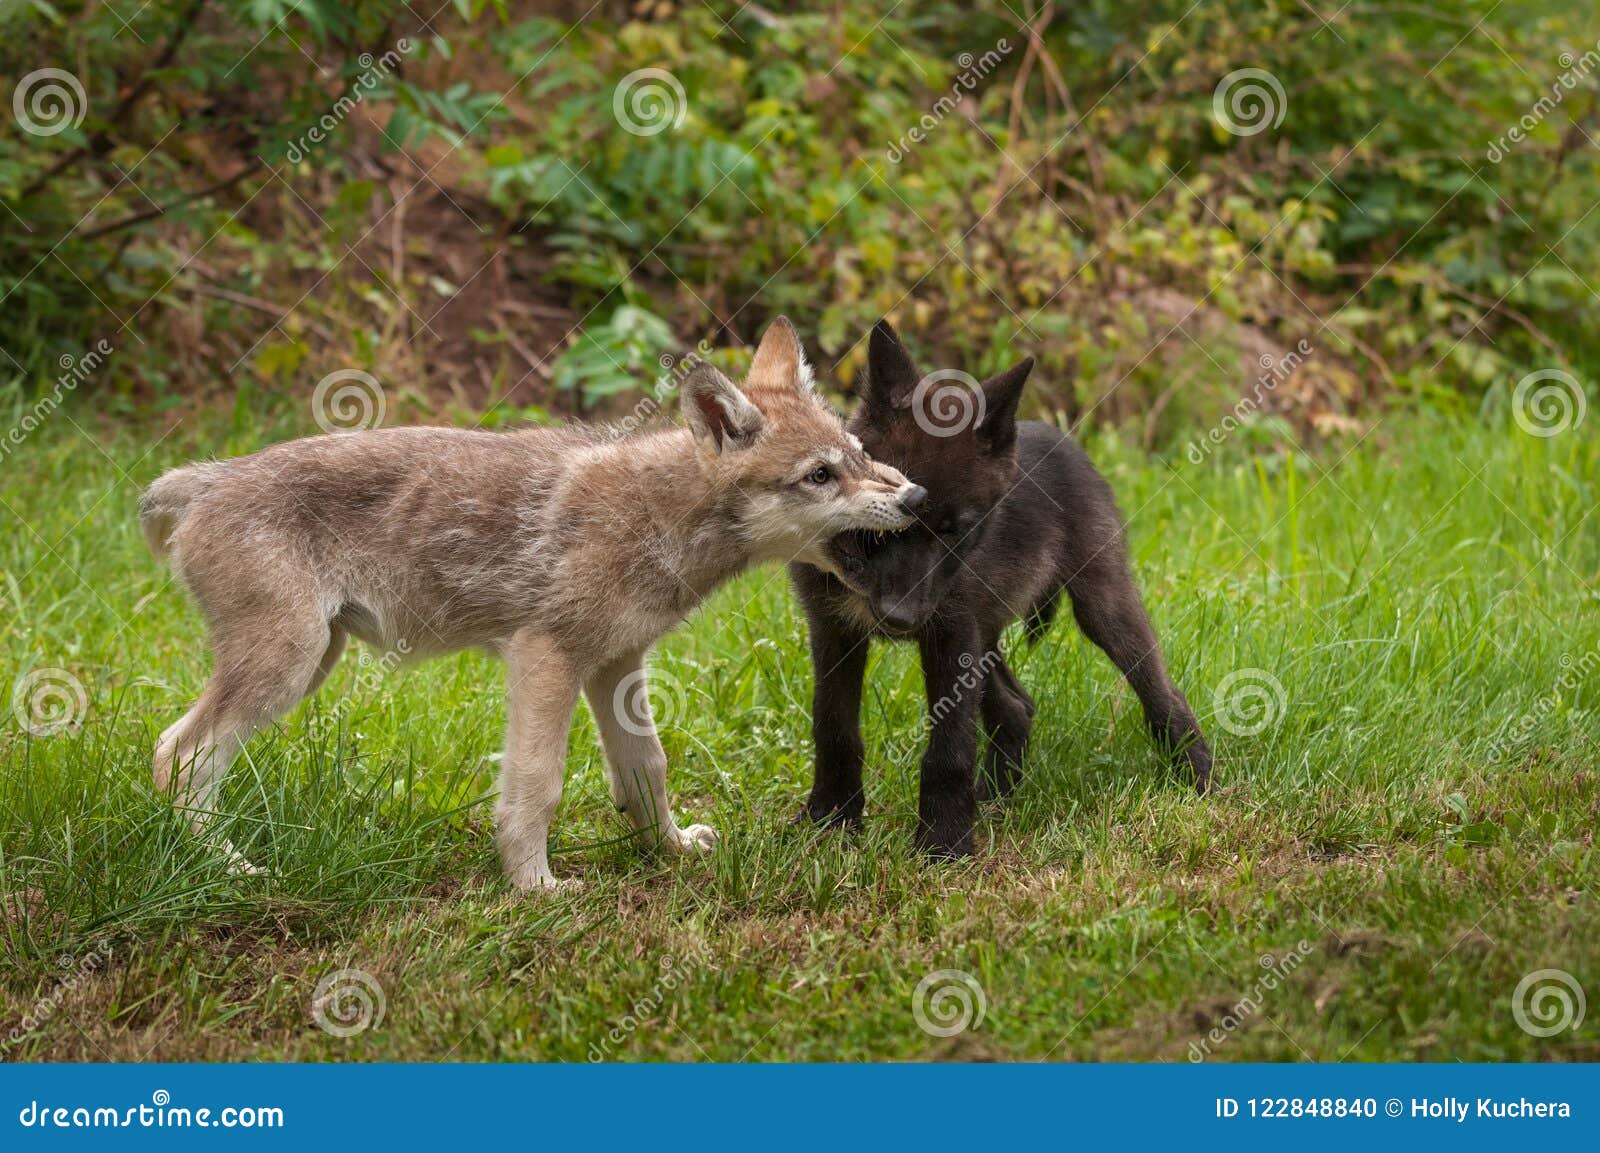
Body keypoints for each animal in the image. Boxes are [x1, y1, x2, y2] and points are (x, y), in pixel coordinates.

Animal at [141, 318, 924, 889]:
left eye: (859, 454)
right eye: (820, 475)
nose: (916, 495)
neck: (661, 515)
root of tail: (206, 478)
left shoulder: (617, 668)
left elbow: (648, 772)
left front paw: (668, 850)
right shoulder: (547, 657)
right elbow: (536, 787)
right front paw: (535, 888)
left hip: (311, 664)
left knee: (179, 753)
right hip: (288, 666)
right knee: (176, 753)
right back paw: (231, 869)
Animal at [789, 321, 1211, 857]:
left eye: (955, 529)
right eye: (887, 516)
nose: (898, 619)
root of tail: (1059, 437)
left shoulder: (950, 635)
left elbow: (950, 748)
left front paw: (944, 845)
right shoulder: (834, 629)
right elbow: (833, 727)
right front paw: (830, 822)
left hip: (1100, 604)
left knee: (1162, 691)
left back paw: (1202, 784)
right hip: (984, 634)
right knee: (1016, 708)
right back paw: (995, 800)